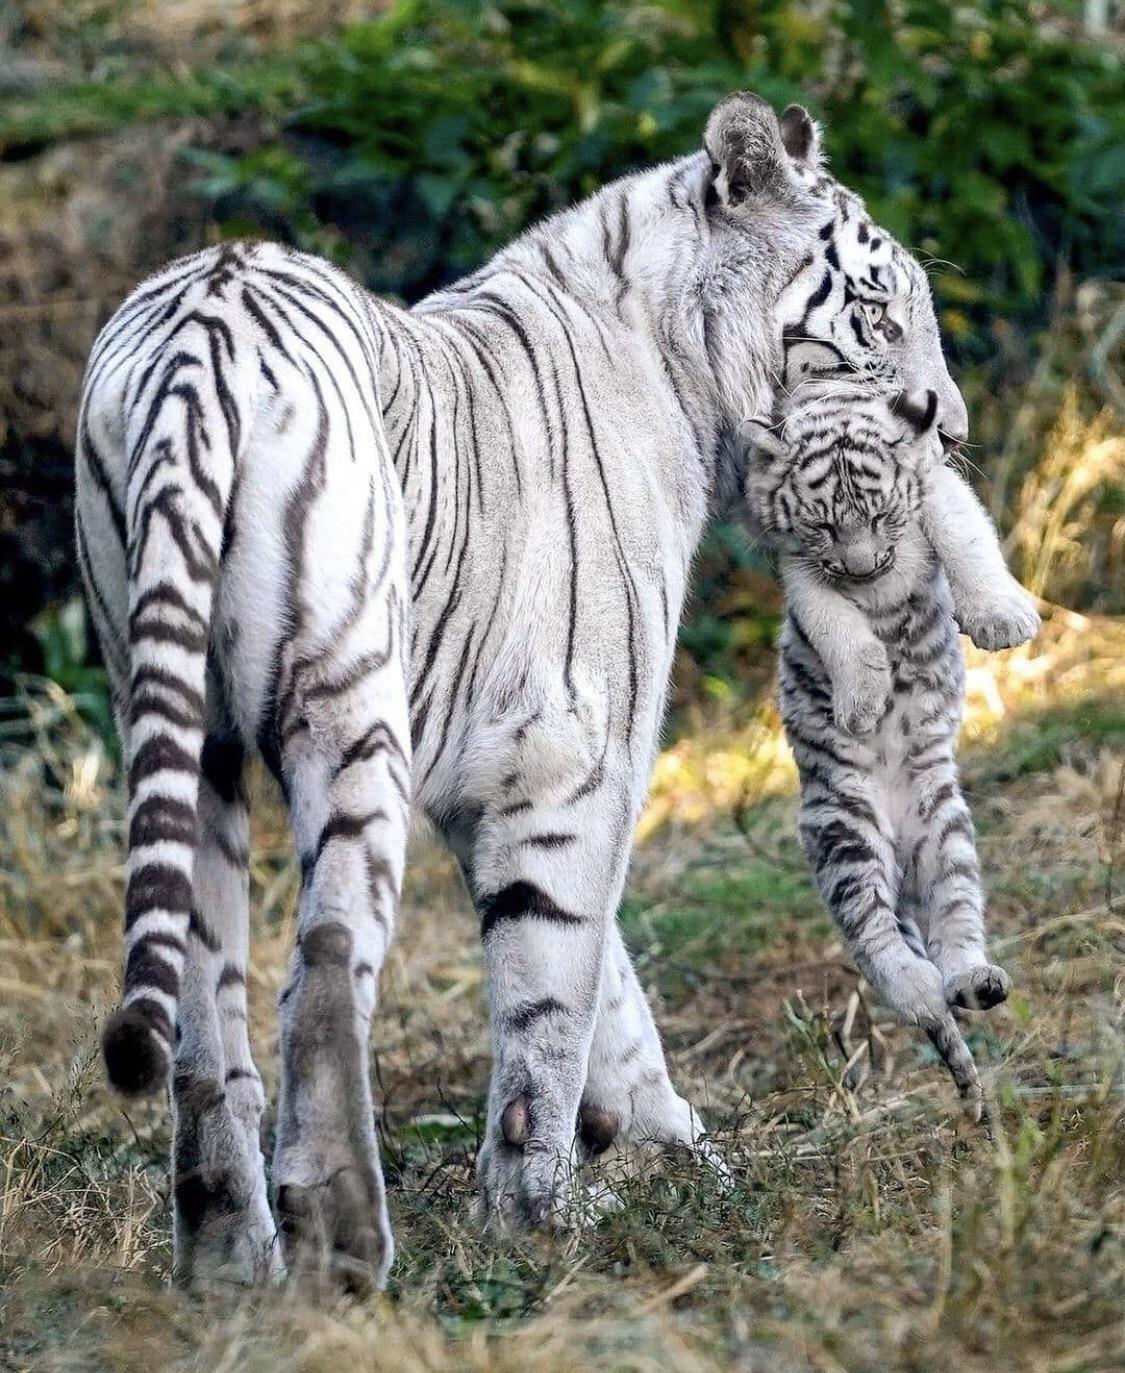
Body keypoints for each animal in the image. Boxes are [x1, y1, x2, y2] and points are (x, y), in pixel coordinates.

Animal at [742, 382, 1038, 1114]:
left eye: (878, 515)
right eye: (823, 527)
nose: (863, 567)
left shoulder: (939, 483)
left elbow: (963, 535)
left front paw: (1001, 617)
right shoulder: (796, 560)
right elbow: (829, 614)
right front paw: (861, 699)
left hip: (947, 832)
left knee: (957, 923)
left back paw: (972, 981)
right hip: (845, 833)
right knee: (880, 946)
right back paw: (920, 989)